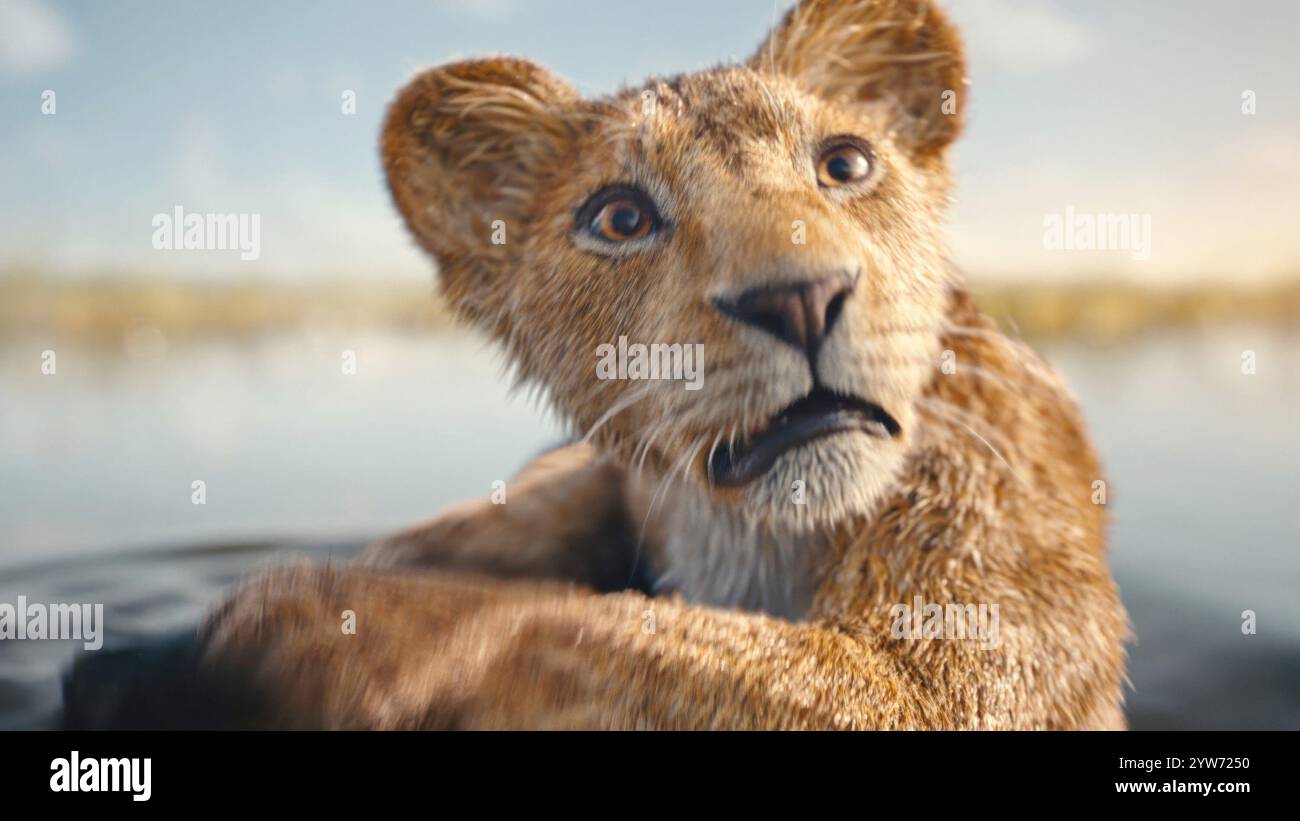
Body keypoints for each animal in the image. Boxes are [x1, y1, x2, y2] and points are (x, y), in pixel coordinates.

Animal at [65, 0, 1129, 729]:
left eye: (846, 164)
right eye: (620, 216)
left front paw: (302, 626)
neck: (747, 532)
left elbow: (587, 629)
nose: (800, 297)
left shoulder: (956, 672)